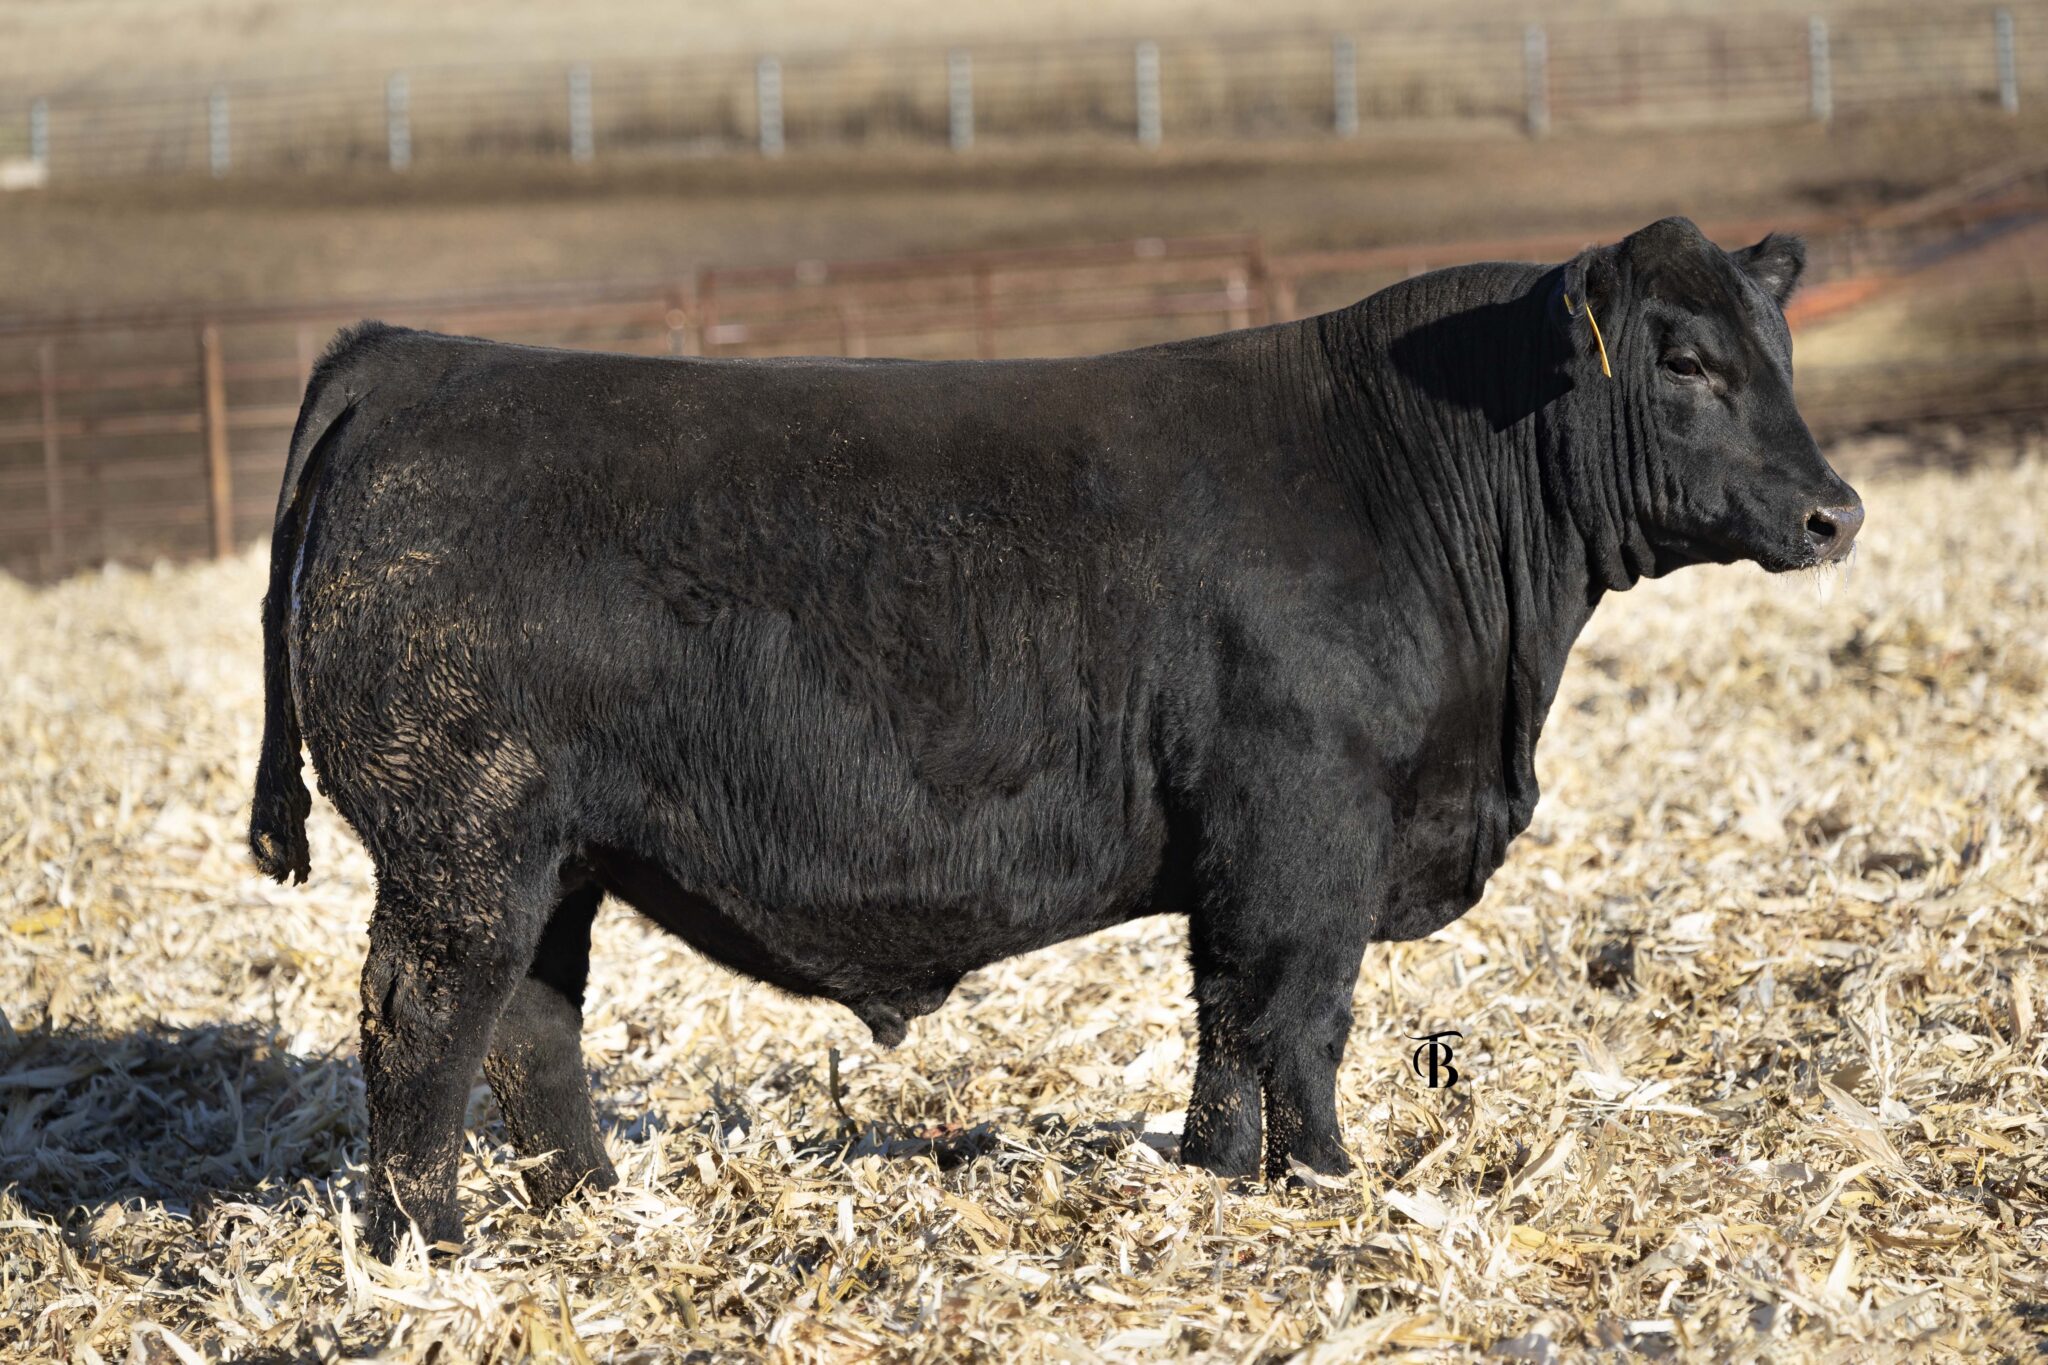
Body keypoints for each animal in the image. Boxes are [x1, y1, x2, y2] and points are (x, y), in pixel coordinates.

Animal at [250, 217, 1862, 1257]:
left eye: (1777, 346)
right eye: (1682, 360)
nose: (1832, 512)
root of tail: (410, 358)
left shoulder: (1243, 859)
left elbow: (1225, 1019)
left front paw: (1215, 1175)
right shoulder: (1310, 830)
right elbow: (1302, 1018)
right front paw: (1330, 1187)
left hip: (557, 853)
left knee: (532, 1026)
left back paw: (585, 1211)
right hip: (467, 840)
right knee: (423, 1018)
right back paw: (426, 1250)